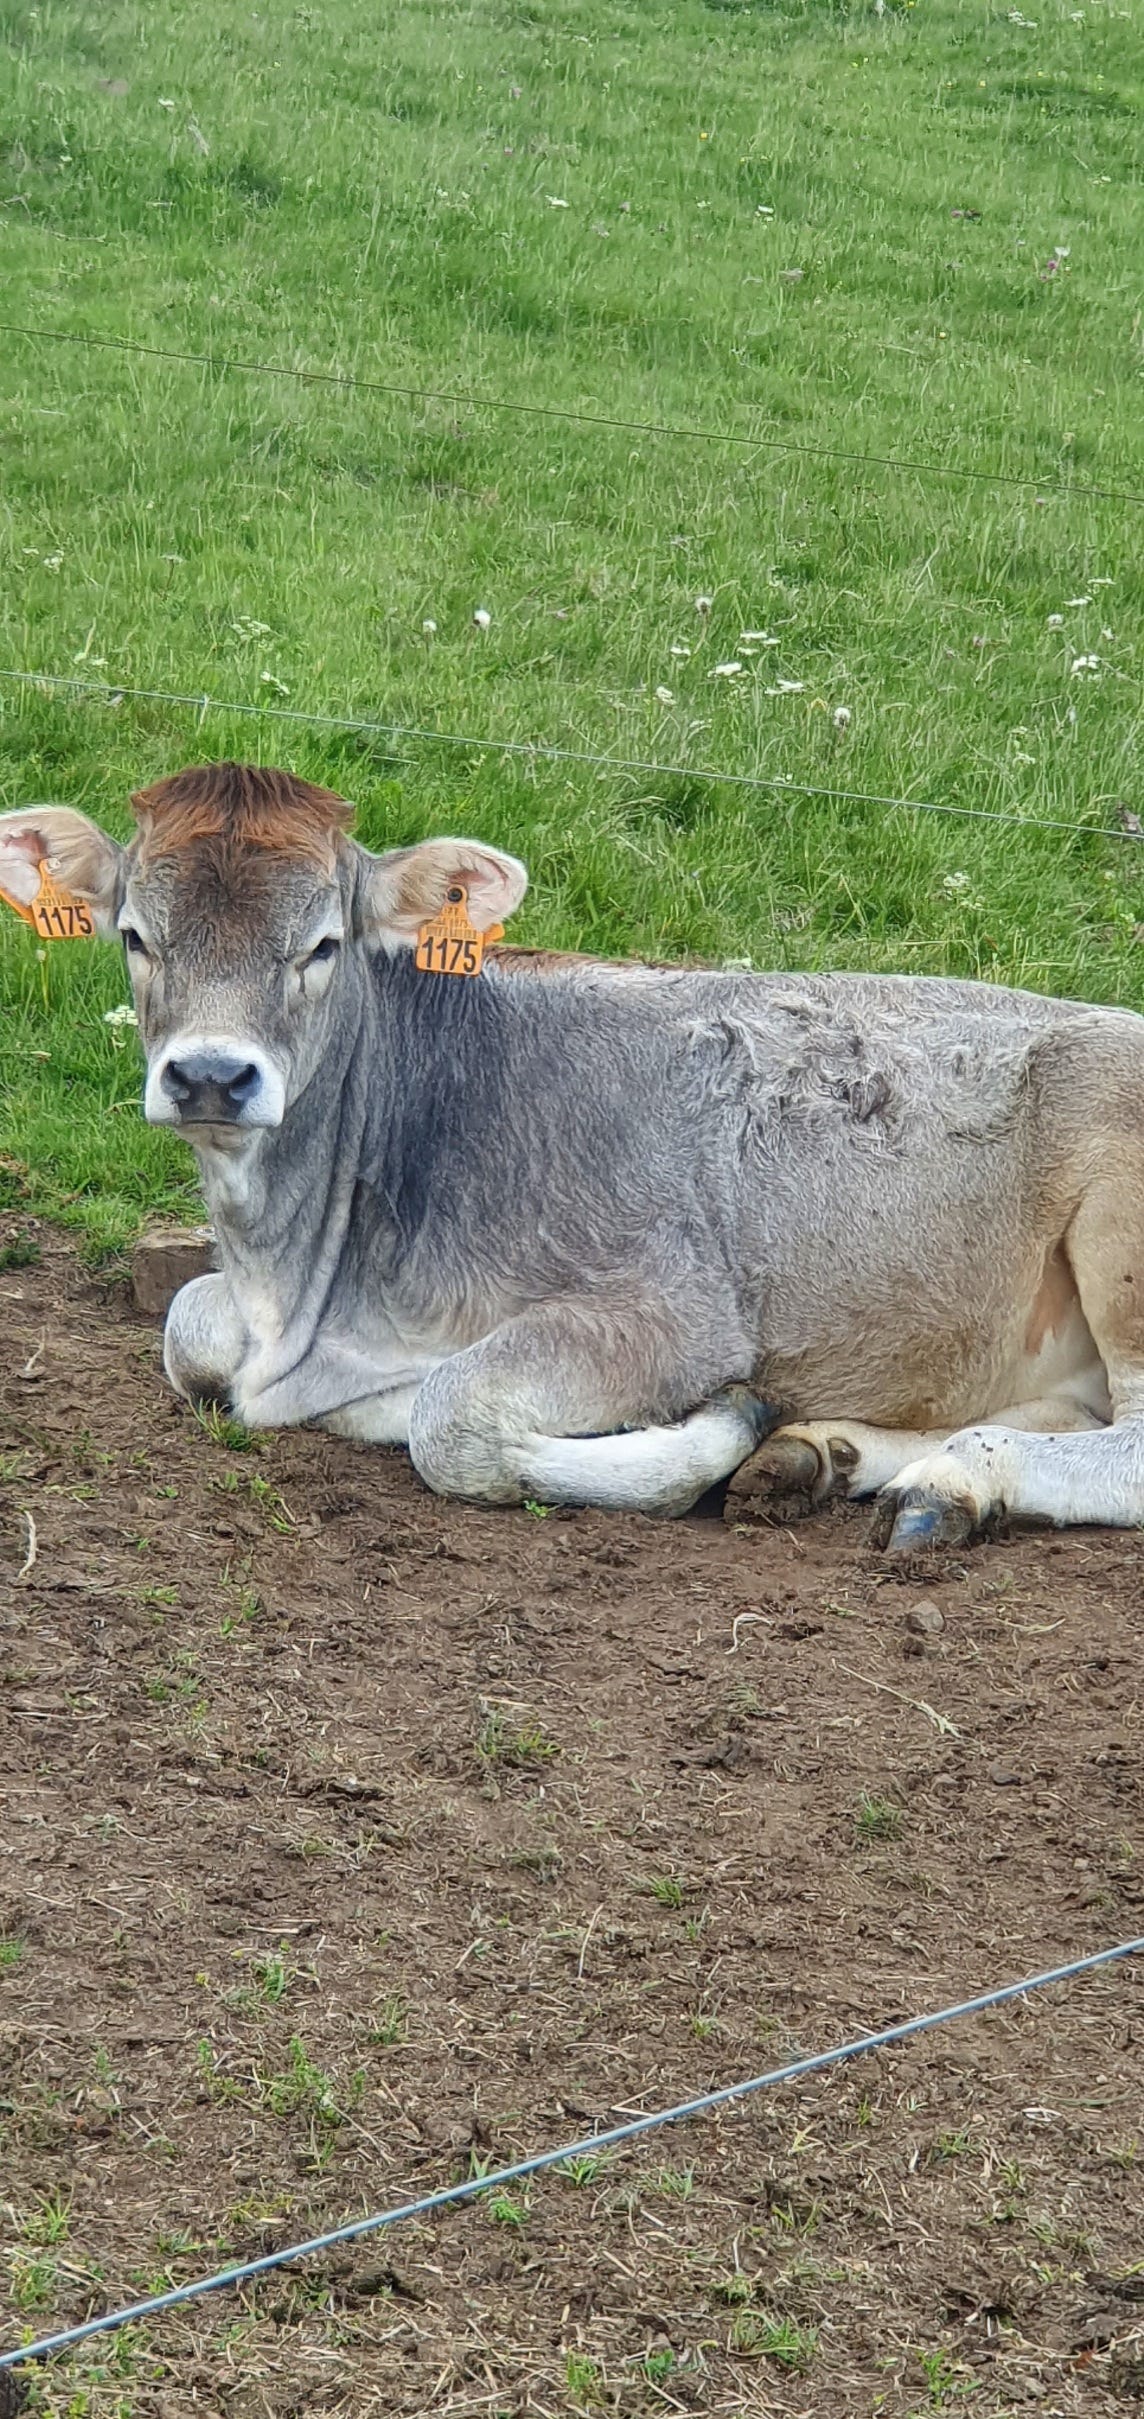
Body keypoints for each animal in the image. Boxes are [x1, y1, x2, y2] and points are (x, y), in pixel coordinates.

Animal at [1, 759, 1142, 1551]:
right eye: (135, 936)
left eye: (321, 944)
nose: (209, 1076)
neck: (301, 1288)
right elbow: (189, 1328)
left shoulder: (676, 1310)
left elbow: (450, 1414)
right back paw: (829, 1456)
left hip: (1117, 1234)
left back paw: (949, 1476)